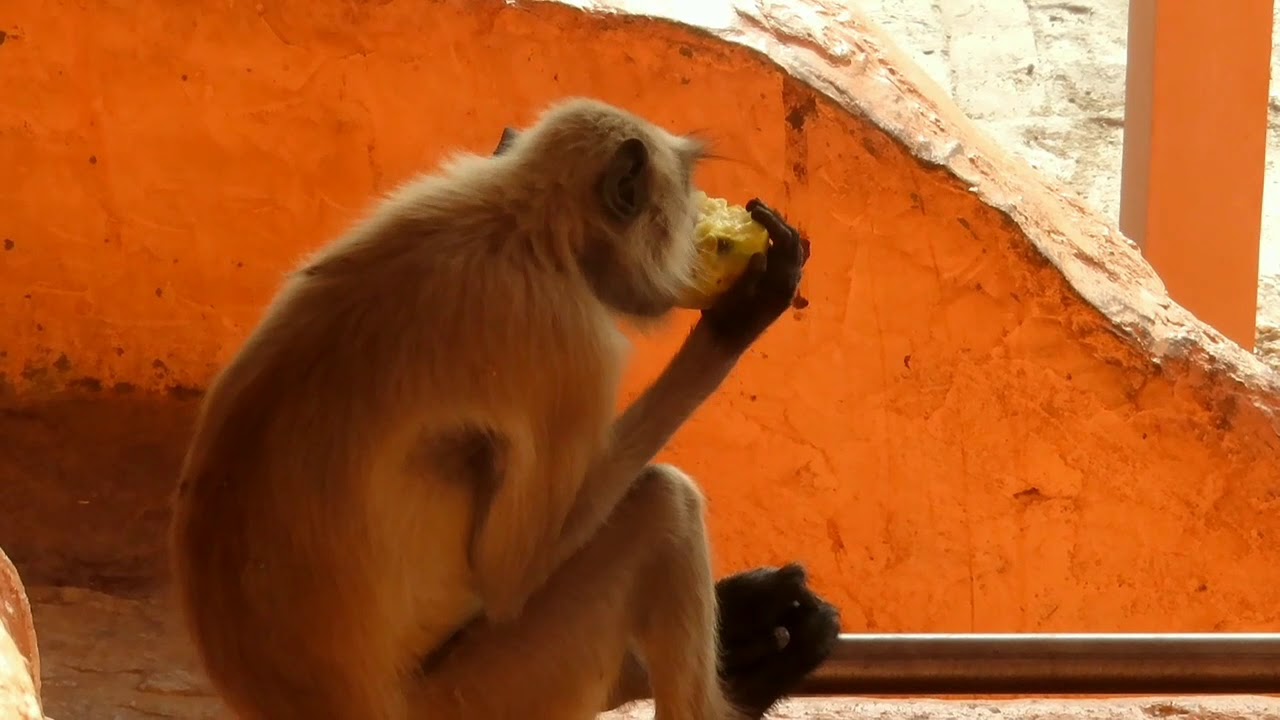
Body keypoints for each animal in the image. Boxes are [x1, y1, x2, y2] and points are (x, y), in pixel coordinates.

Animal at [169, 97, 838, 720]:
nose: (699, 223)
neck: (523, 222)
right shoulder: (572, 343)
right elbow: (510, 578)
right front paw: (744, 309)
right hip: (483, 695)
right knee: (661, 501)